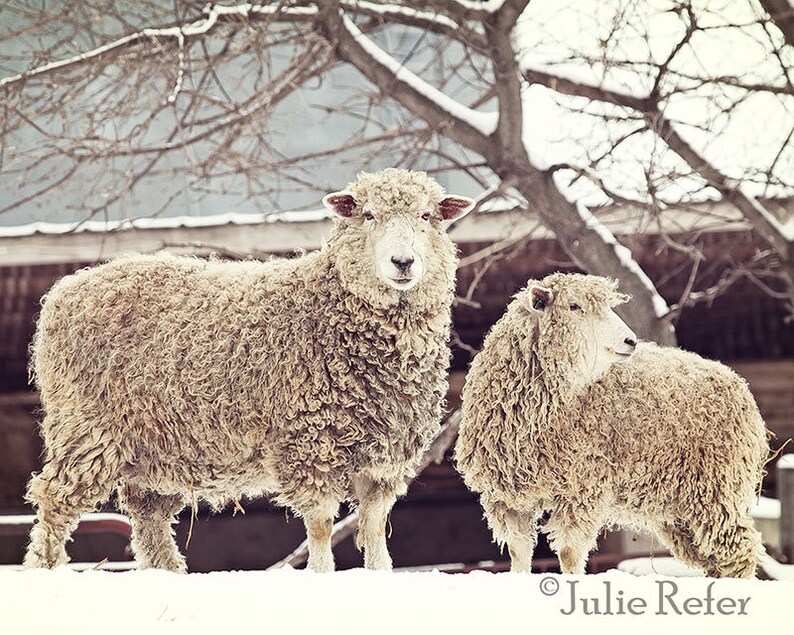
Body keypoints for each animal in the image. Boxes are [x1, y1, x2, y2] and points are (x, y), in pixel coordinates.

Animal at [24, 167, 474, 573]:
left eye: (427, 216)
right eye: (367, 215)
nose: (403, 262)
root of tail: (64, 290)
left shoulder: (385, 455)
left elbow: (376, 527)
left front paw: (379, 575)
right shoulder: (308, 443)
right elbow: (321, 526)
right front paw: (322, 576)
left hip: (156, 447)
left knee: (147, 516)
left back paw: (168, 574)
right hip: (85, 427)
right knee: (54, 500)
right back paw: (44, 567)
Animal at [455, 272, 769, 578]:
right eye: (574, 306)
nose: (630, 341)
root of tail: (737, 383)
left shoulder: (583, 487)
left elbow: (569, 554)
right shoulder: (504, 497)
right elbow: (517, 553)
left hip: (718, 487)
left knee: (739, 552)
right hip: (679, 507)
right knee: (715, 559)